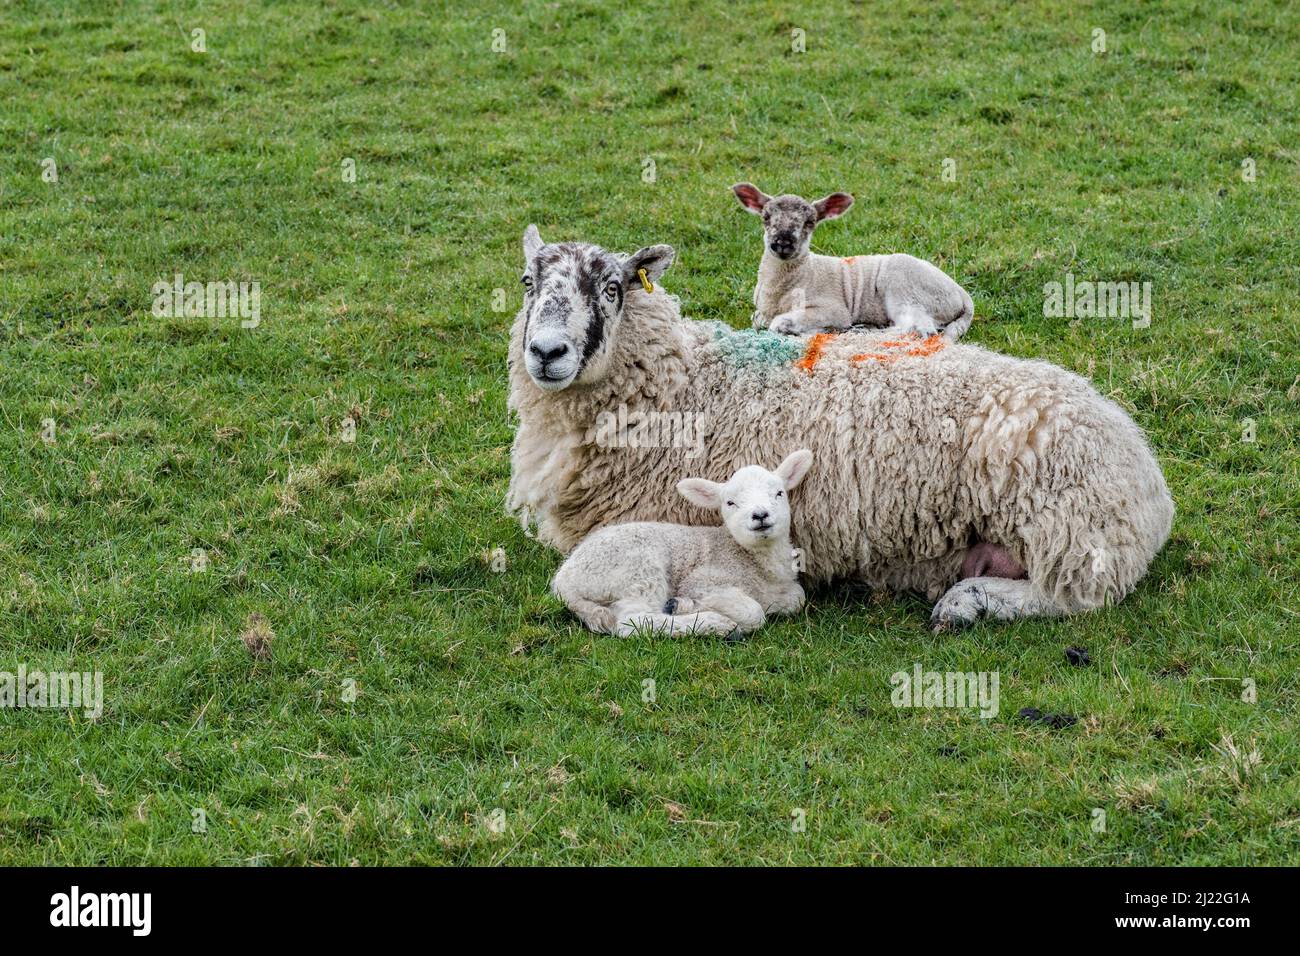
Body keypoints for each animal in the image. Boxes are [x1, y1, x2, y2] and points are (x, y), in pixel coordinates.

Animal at [551, 450, 813, 636]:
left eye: (779, 493)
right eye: (730, 502)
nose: (760, 515)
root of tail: (564, 580)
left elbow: (797, 598)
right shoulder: (703, 581)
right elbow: (754, 612)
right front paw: (692, 606)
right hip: (638, 570)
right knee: (633, 621)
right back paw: (713, 623)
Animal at [731, 183, 974, 340]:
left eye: (810, 222)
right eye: (765, 217)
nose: (783, 243)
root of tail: (963, 296)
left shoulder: (834, 308)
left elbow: (778, 323)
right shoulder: (760, 311)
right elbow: (758, 319)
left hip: (907, 290)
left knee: (920, 329)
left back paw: (862, 330)